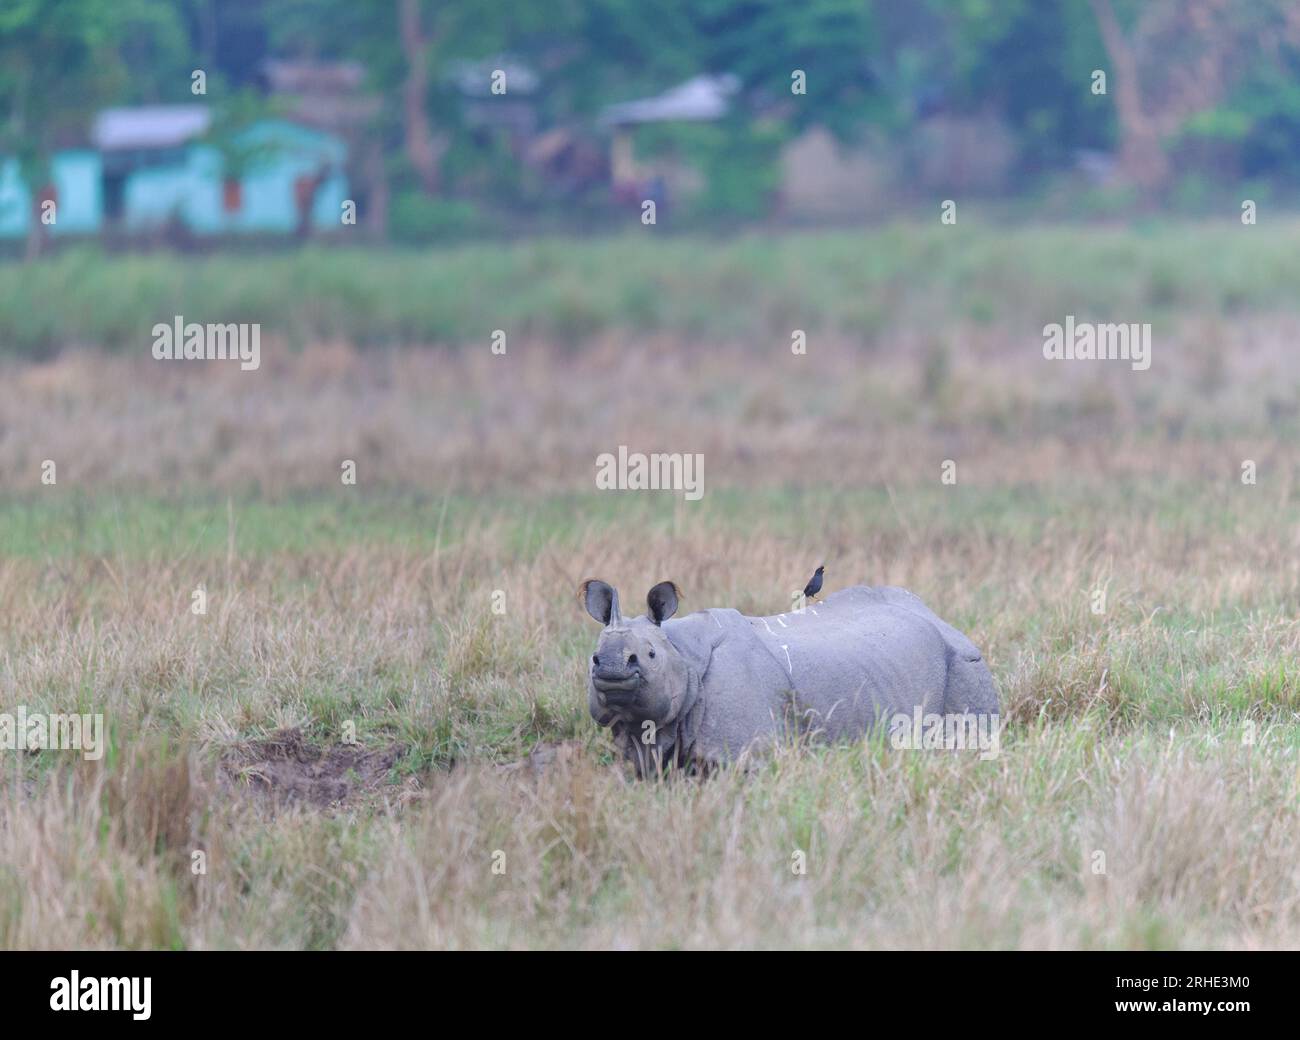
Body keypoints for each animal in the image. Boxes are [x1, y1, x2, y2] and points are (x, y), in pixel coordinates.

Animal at [580, 579, 998, 775]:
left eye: (650, 655)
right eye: (594, 658)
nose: (613, 669)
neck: (682, 654)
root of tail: (936, 615)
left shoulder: (748, 754)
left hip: (963, 660)